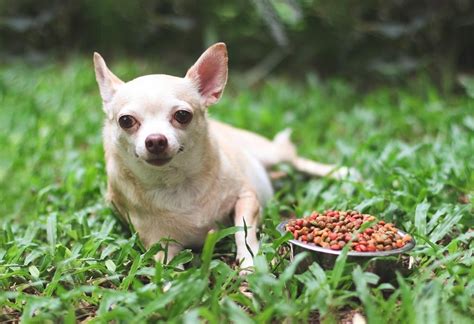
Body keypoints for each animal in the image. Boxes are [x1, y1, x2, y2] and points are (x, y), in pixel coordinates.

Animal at [93, 42, 352, 270]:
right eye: (126, 121)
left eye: (182, 116)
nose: (156, 140)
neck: (175, 183)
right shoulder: (159, 244)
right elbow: (168, 271)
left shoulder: (246, 198)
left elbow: (244, 233)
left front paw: (249, 263)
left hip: (272, 153)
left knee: (294, 158)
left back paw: (342, 172)